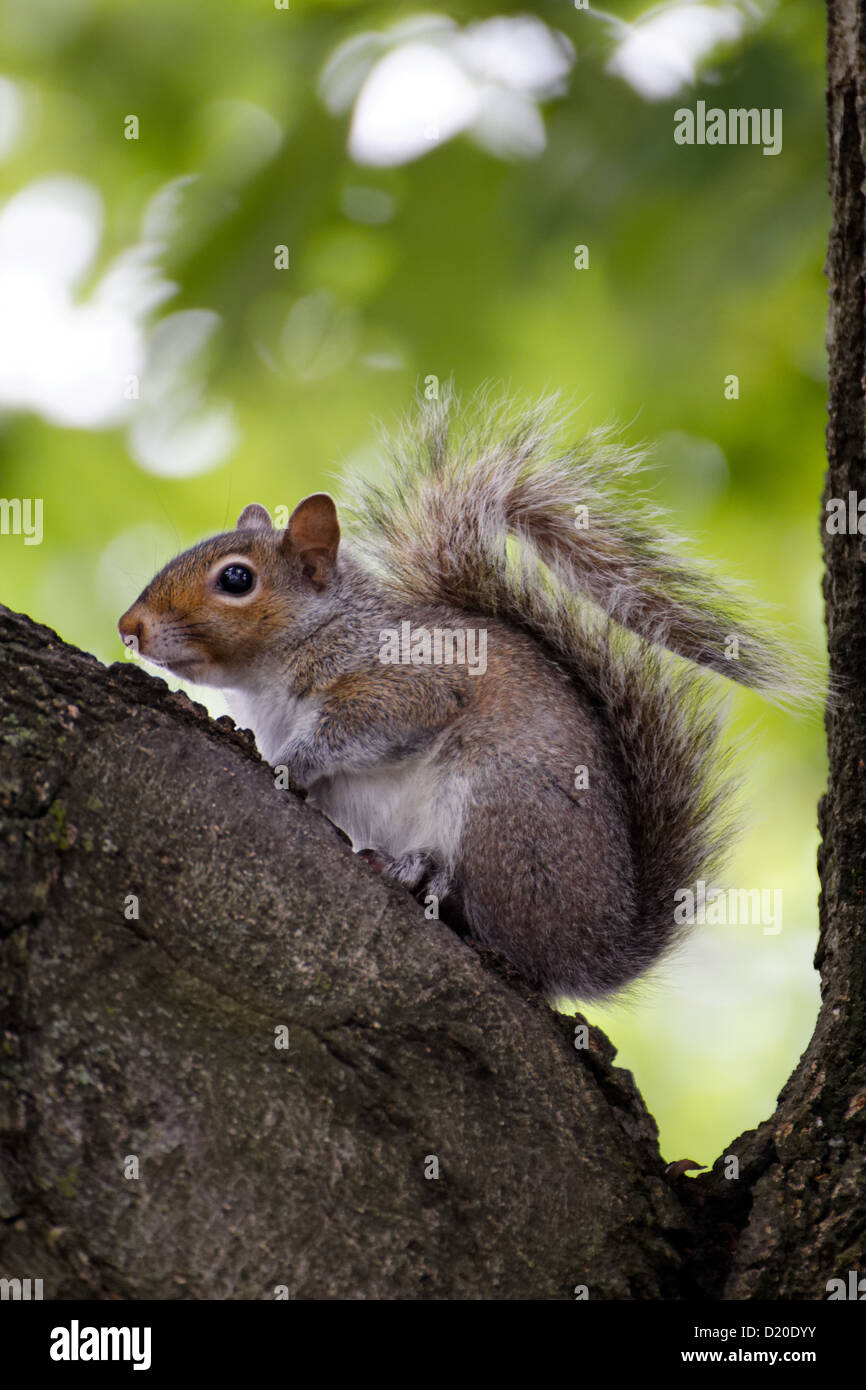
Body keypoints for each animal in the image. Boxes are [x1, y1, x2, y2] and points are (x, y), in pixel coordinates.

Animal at [118, 392, 802, 1002]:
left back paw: (427, 875)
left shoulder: (411, 677)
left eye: (237, 579)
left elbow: (372, 721)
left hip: (503, 803)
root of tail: (597, 947)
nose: (130, 627)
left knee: (501, 926)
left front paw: (289, 762)